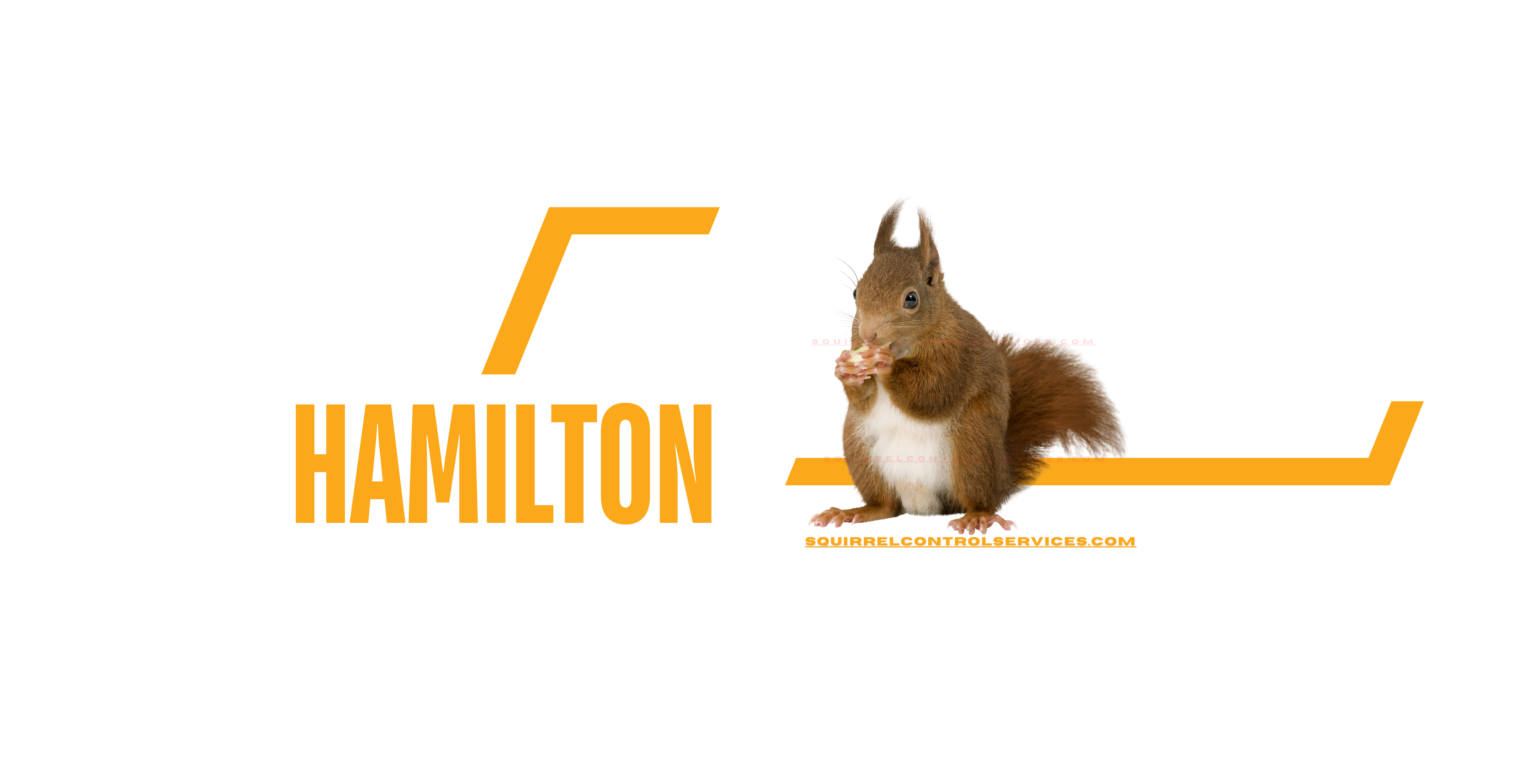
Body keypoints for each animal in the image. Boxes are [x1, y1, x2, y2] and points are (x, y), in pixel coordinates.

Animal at [809, 202, 1124, 535]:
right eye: (856, 293)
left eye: (911, 299)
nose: (869, 335)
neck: (907, 346)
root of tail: (922, 505)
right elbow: (862, 399)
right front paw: (845, 369)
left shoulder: (957, 354)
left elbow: (933, 391)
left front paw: (887, 365)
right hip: (860, 448)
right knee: (886, 506)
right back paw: (853, 512)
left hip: (972, 441)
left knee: (978, 498)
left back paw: (977, 516)